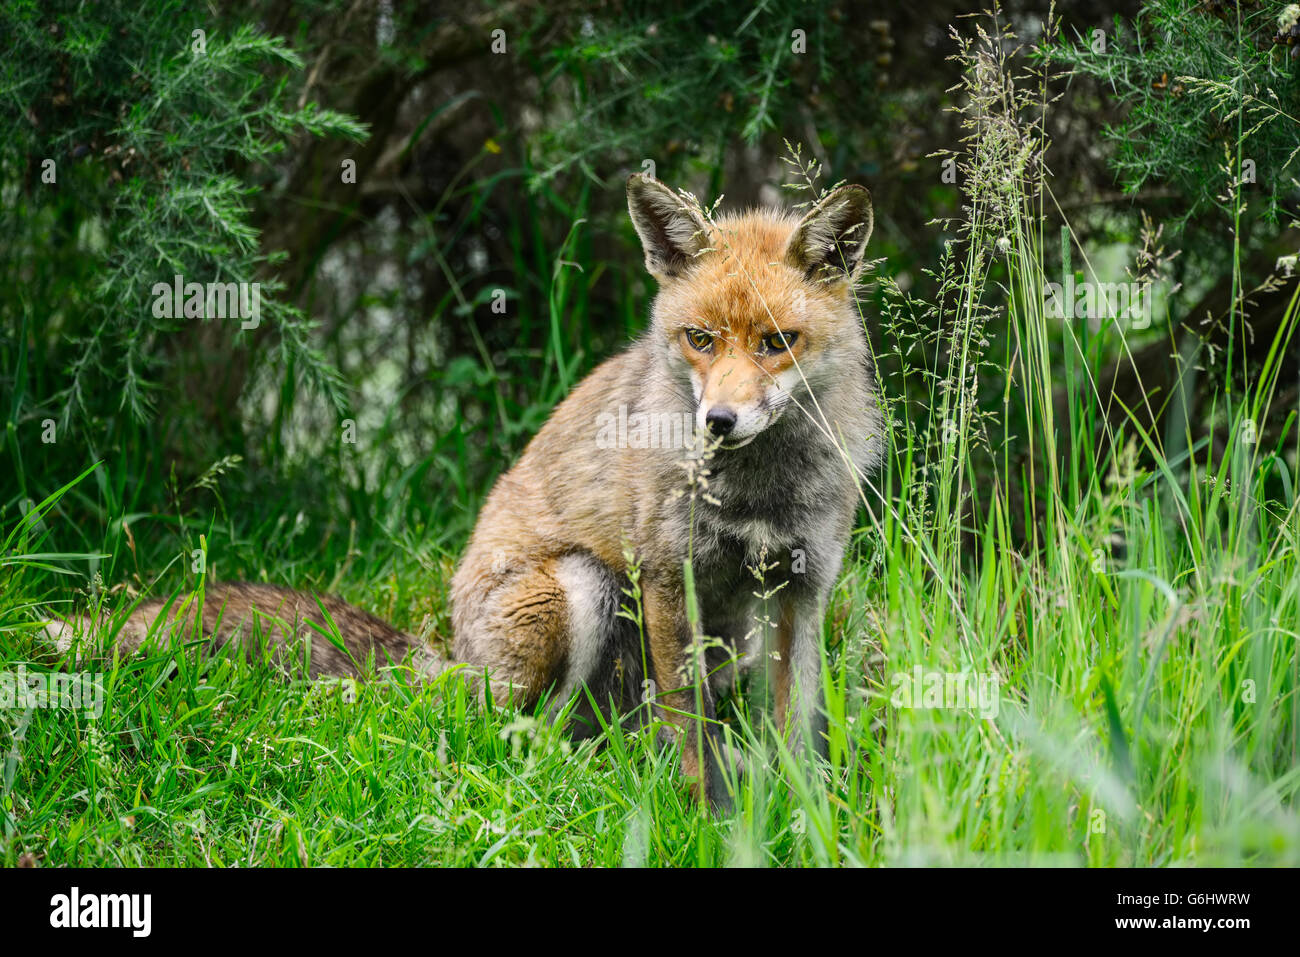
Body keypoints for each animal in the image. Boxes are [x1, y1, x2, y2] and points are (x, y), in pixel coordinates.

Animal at [43, 173, 883, 810]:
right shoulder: (667, 578)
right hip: (582, 585)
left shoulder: (802, 588)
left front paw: (808, 815)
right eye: (700, 339)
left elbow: (799, 727)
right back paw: (567, 768)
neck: (759, 493)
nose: (718, 421)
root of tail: (450, 654)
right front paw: (706, 815)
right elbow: (691, 732)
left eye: (778, 343)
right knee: (517, 732)